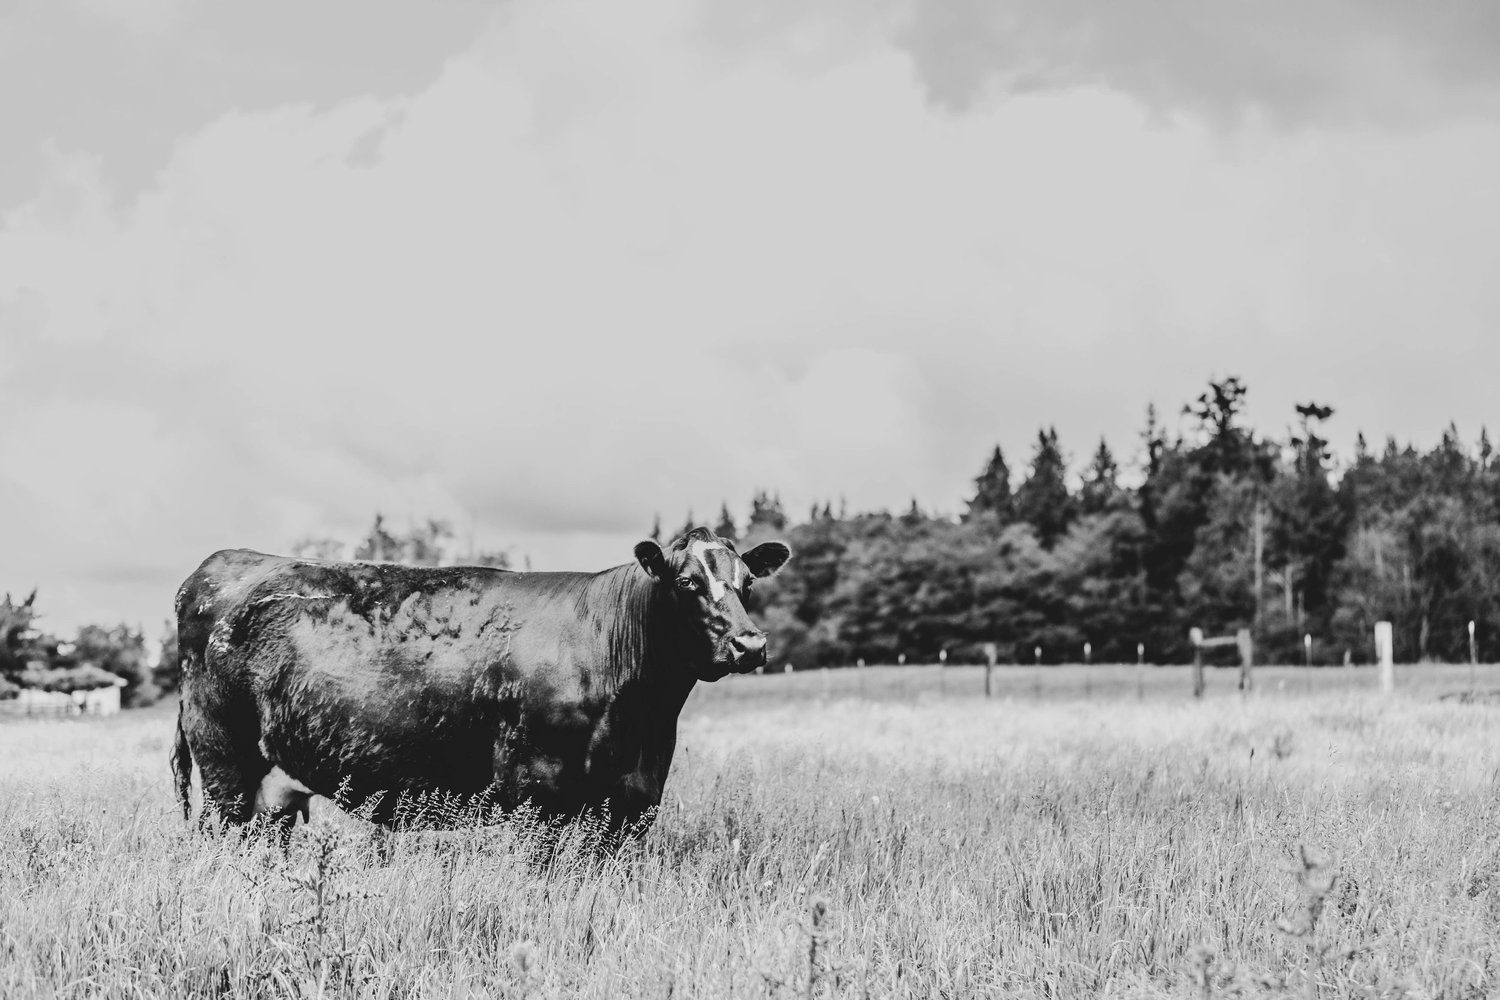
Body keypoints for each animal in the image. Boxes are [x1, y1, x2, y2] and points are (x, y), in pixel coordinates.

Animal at [170, 526, 790, 837]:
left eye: (747, 581)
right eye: (687, 583)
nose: (750, 644)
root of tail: (223, 563)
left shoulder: (632, 804)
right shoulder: (539, 798)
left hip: (272, 796)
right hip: (225, 773)